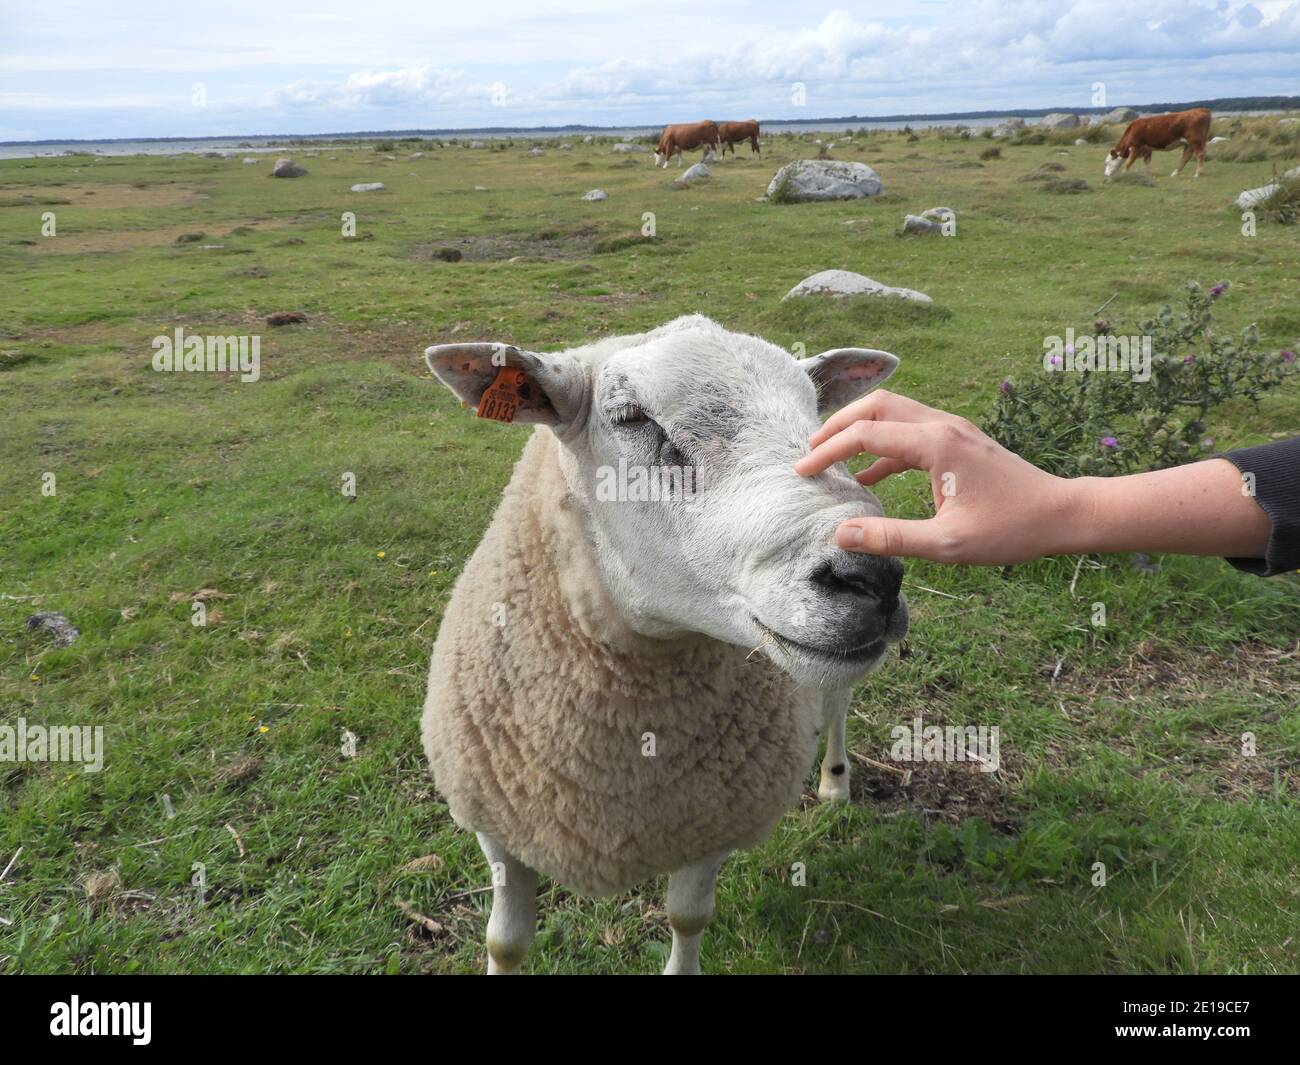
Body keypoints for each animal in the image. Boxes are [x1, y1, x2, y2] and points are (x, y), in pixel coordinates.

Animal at [421, 315, 908, 974]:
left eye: (818, 416)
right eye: (631, 418)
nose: (875, 574)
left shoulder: (709, 827)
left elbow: (687, 917)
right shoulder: (498, 829)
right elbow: (505, 941)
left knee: (836, 706)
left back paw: (835, 781)